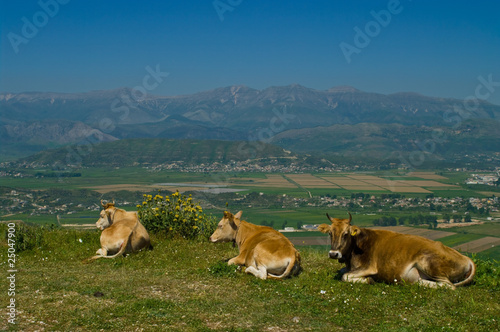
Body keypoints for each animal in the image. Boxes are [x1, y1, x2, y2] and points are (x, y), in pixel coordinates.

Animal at [318, 213, 474, 288]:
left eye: (345, 234)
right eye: (330, 233)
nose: (333, 254)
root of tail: (466, 258)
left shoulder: (369, 267)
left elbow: (345, 276)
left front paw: (369, 280)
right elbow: (342, 272)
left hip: (430, 263)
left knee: (449, 286)